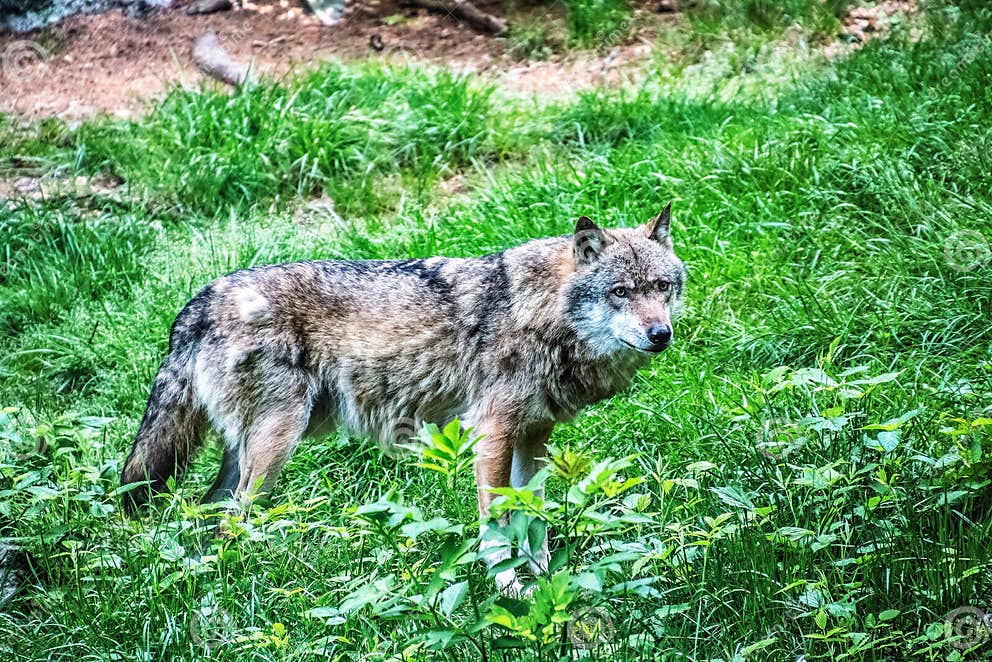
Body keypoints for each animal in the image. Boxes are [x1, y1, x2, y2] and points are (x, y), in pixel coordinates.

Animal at [121, 204, 686, 589]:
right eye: (620, 292)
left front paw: (546, 579)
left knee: (206, 517)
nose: (660, 334)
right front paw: (510, 588)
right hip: (273, 447)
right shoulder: (492, 432)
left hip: (244, 454)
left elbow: (534, 519)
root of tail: (199, 299)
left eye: (662, 286)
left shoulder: (534, 436)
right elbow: (497, 524)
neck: (544, 312)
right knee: (230, 522)